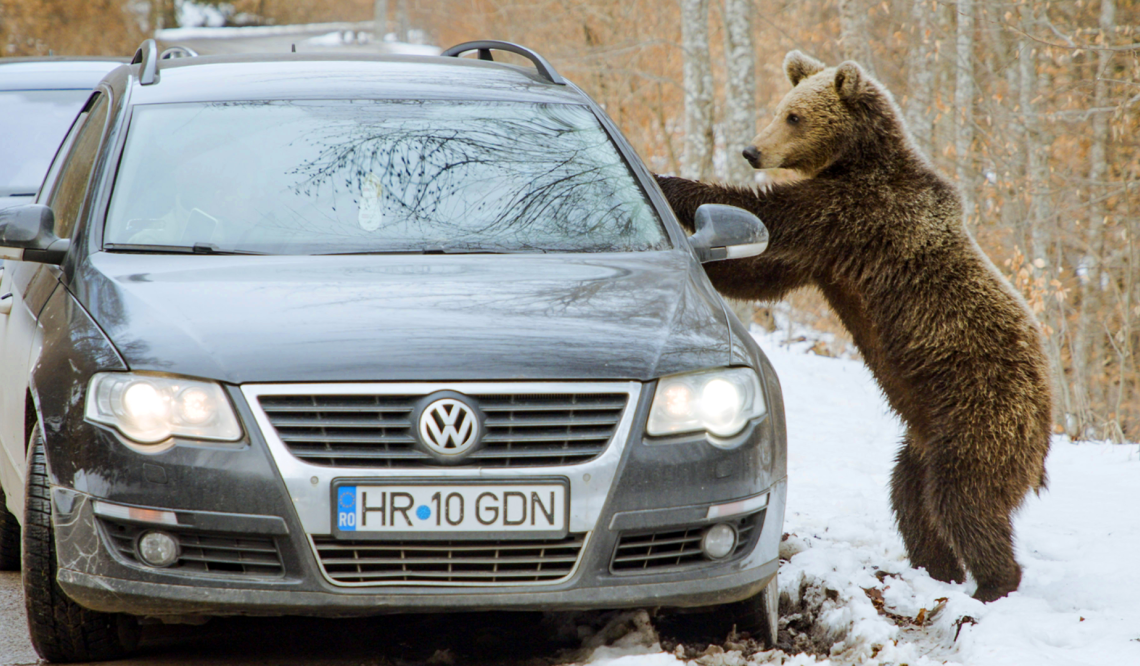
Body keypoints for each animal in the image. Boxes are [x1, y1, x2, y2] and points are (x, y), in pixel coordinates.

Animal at [655, 51, 1052, 602]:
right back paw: (935, 569)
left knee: (963, 500)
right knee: (911, 495)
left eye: (794, 116)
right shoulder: (828, 255)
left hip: (980, 414)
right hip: (925, 435)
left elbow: (774, 216)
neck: (858, 159)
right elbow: (762, 271)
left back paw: (993, 584)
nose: (752, 150)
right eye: (782, 108)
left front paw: (670, 183)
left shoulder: (857, 214)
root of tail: (1045, 424)